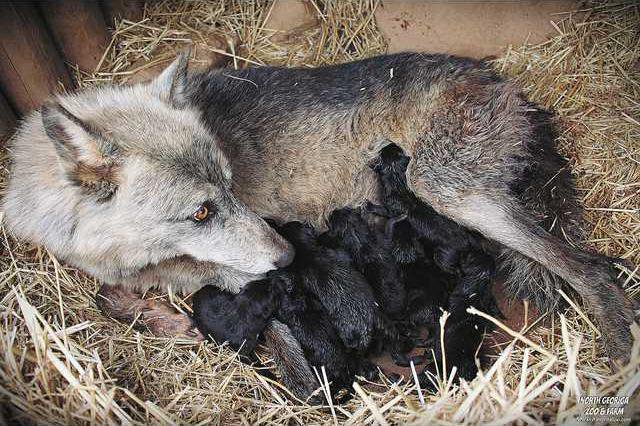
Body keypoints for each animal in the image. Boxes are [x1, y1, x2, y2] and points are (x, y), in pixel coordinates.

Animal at [2, 52, 636, 398]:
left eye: (231, 186)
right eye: (202, 211)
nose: (288, 256)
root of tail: (517, 91)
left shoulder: (256, 289)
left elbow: (294, 375)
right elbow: (124, 302)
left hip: (443, 188)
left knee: (594, 269)